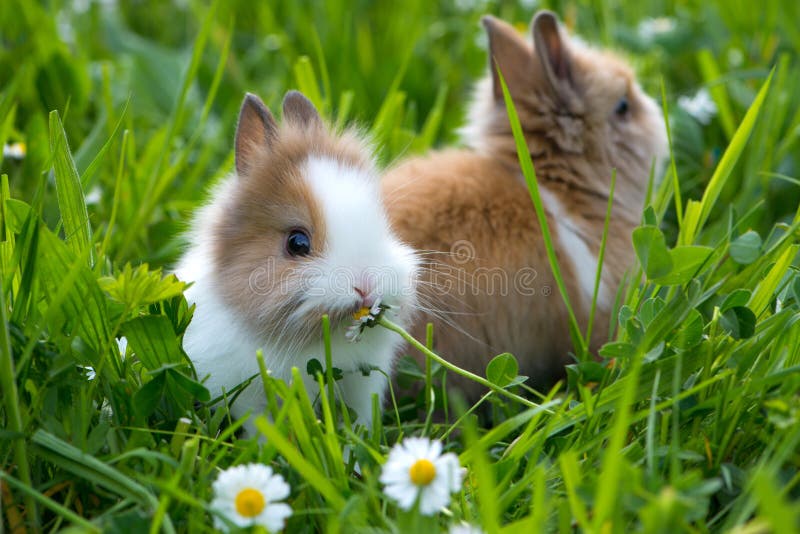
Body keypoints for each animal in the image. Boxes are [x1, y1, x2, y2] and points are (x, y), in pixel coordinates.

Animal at [175, 91, 419, 435]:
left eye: (383, 224)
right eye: (297, 243)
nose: (366, 286)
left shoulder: (363, 385)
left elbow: (361, 416)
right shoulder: (246, 394)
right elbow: (260, 427)